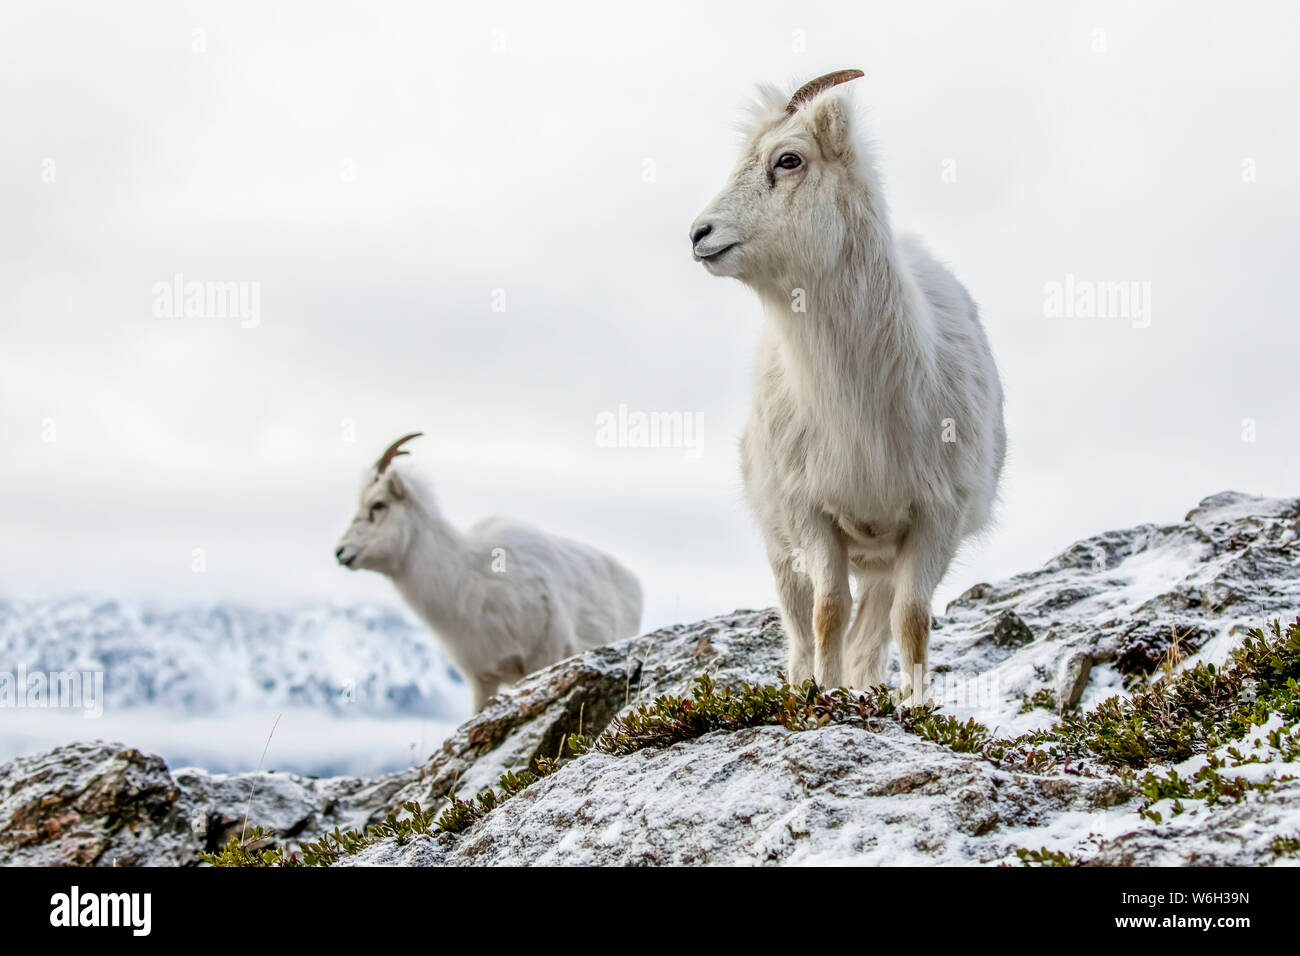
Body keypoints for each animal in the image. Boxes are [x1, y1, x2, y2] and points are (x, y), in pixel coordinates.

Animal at [335, 433, 644, 713]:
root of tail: (633, 583)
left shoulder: (542, 658)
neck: (470, 580)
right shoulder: (481, 678)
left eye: (378, 504)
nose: (340, 552)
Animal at [688, 70, 1006, 702]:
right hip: (780, 545)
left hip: (882, 561)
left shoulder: (935, 522)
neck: (859, 402)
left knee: (872, 634)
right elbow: (828, 611)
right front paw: (824, 696)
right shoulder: (811, 515)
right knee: (799, 627)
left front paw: (917, 705)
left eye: (788, 159)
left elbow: (912, 620)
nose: (699, 234)